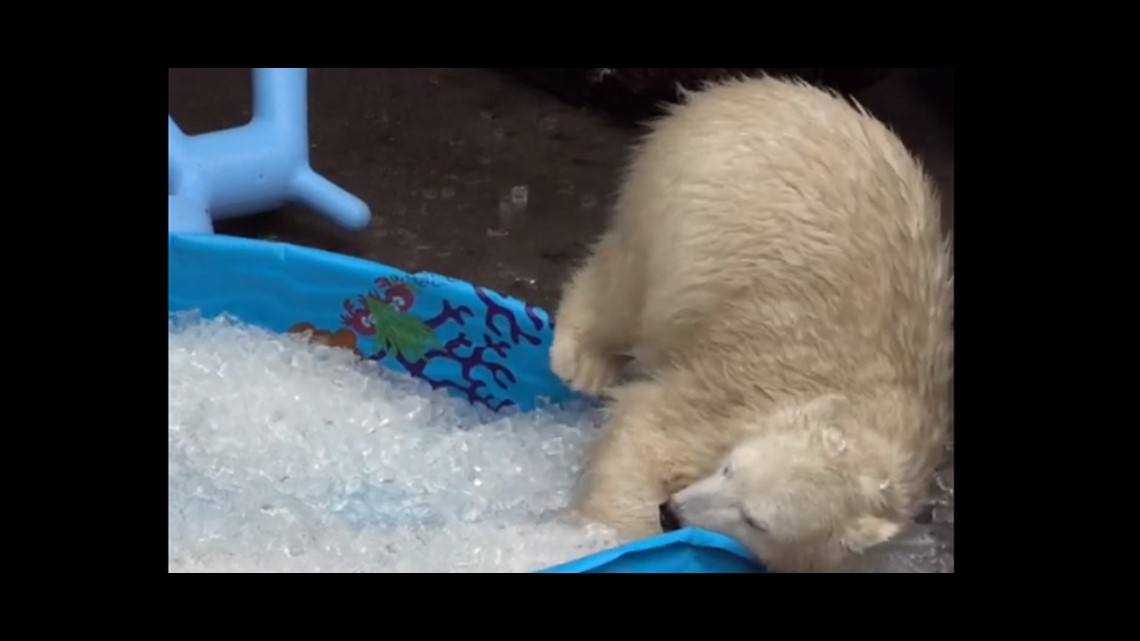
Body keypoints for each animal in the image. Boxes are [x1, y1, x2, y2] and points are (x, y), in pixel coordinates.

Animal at [548, 75, 953, 573]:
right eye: (730, 466)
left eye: (755, 519)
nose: (671, 513)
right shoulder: (731, 396)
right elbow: (644, 433)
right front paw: (611, 535)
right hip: (685, 203)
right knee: (625, 286)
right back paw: (583, 362)